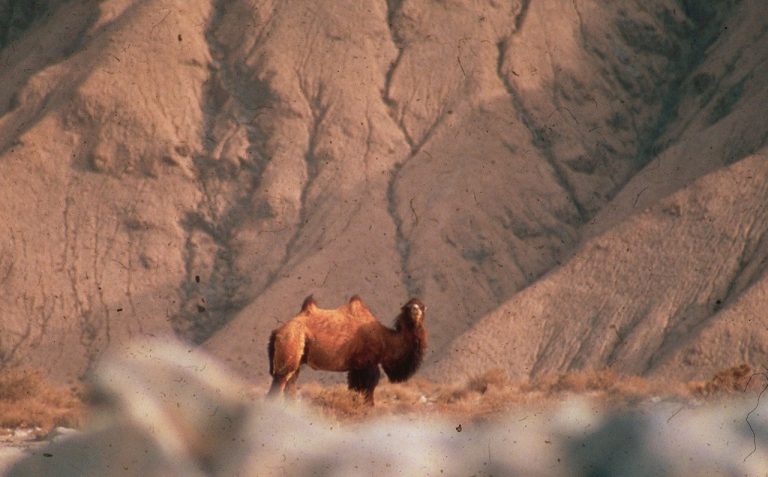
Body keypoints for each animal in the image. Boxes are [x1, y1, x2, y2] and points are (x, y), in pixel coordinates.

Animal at [267, 295, 427, 405]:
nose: (415, 310)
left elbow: (355, 389)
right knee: (278, 386)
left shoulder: (356, 367)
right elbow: (368, 389)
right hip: (289, 347)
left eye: (422, 306)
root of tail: (276, 332)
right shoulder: (367, 364)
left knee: (290, 386)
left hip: (296, 361)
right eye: (408, 307)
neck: (386, 340)